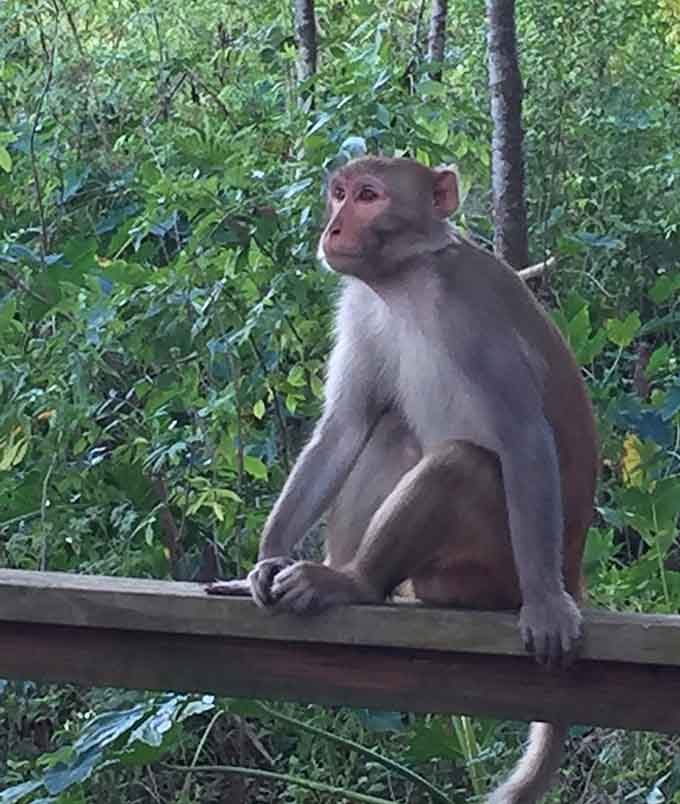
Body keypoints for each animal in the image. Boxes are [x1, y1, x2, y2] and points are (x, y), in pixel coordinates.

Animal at [207, 156, 598, 803]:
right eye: (339, 194)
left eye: (369, 197)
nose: (334, 228)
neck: (405, 281)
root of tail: (575, 567)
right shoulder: (360, 309)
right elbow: (346, 426)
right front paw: (265, 560)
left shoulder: (472, 307)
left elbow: (522, 435)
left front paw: (545, 608)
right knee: (393, 430)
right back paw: (339, 571)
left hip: (494, 567)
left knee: (457, 463)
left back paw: (355, 583)